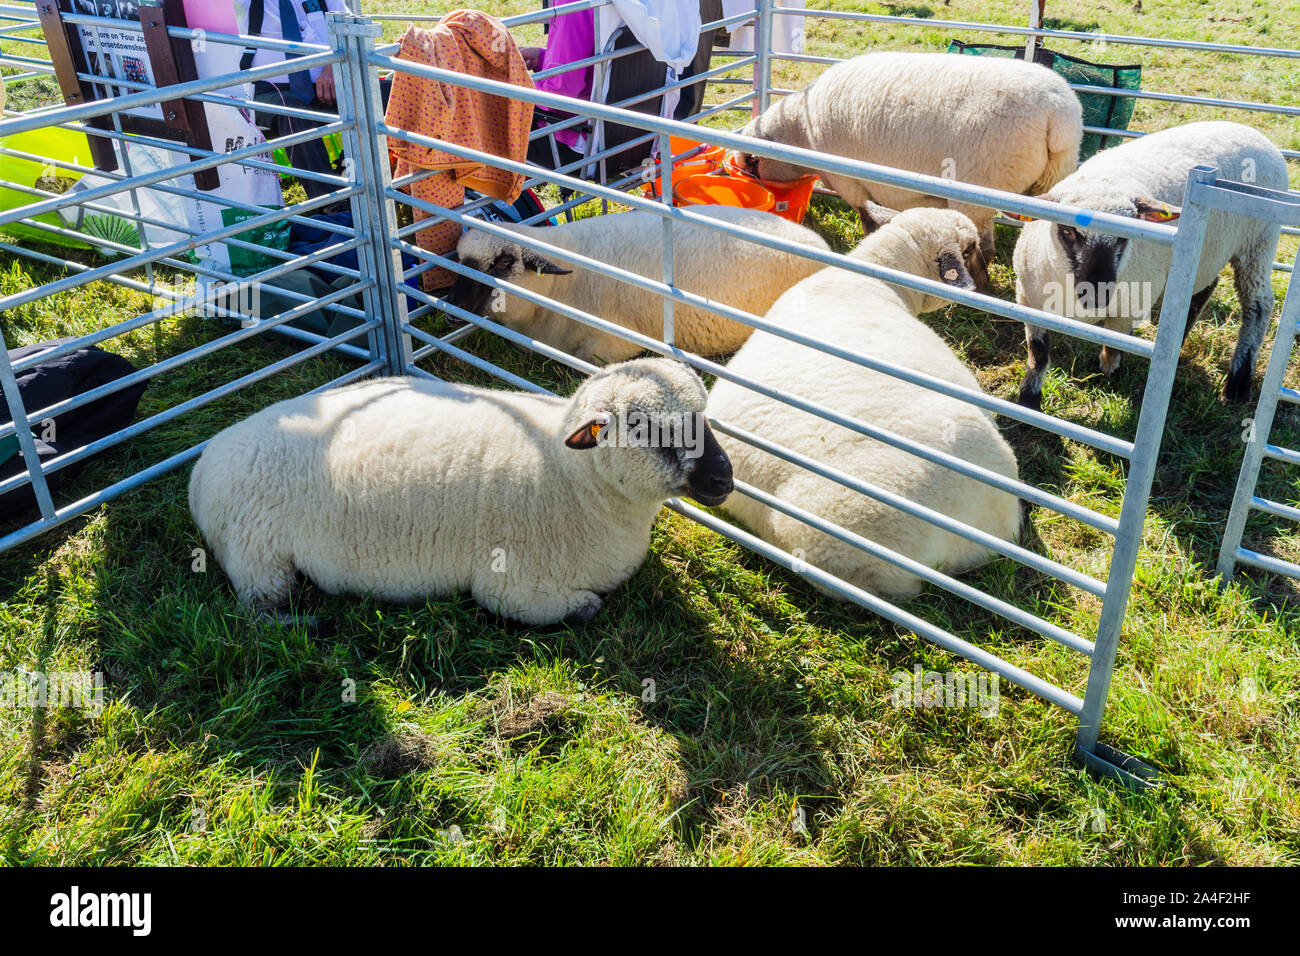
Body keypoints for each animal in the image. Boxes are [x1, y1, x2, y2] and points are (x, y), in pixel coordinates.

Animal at [188, 358, 733, 626]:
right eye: (648, 431)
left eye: (705, 416)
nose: (724, 479)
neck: (574, 481)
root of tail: (200, 469)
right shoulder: (514, 590)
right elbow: (581, 609)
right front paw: (587, 607)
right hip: (257, 555)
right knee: (256, 611)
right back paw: (309, 622)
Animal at [731, 51, 1083, 271]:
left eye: (752, 164)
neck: (800, 132)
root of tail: (1057, 115)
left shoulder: (846, 178)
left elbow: (862, 210)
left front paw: (870, 233)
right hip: (1050, 182)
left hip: (981, 186)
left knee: (985, 248)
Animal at [1012, 121, 1288, 407]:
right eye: (1067, 231)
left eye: (1124, 236)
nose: (1096, 295)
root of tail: (1252, 131)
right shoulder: (1028, 300)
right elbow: (1038, 354)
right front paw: (1028, 399)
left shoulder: (1129, 308)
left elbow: (1114, 345)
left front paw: (1110, 373)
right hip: (1209, 251)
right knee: (1205, 287)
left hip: (1259, 241)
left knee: (1258, 305)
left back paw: (1237, 384)